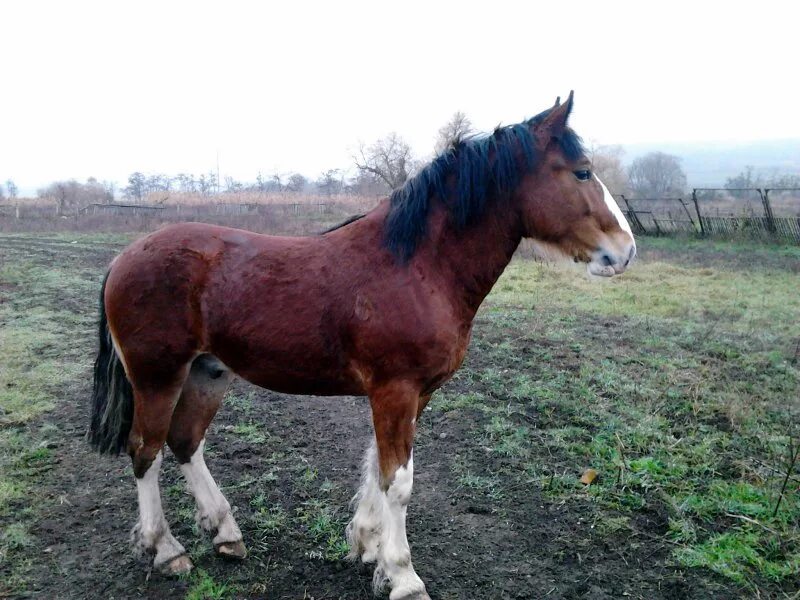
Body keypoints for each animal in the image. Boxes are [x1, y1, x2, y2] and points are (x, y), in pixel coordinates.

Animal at [89, 92, 636, 600]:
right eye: (582, 172)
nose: (625, 251)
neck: (416, 267)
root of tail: (123, 258)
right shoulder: (395, 391)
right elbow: (399, 482)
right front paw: (403, 576)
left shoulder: (414, 394)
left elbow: (378, 469)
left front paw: (368, 547)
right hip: (157, 376)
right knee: (146, 450)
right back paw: (166, 551)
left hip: (207, 372)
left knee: (185, 442)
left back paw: (225, 534)